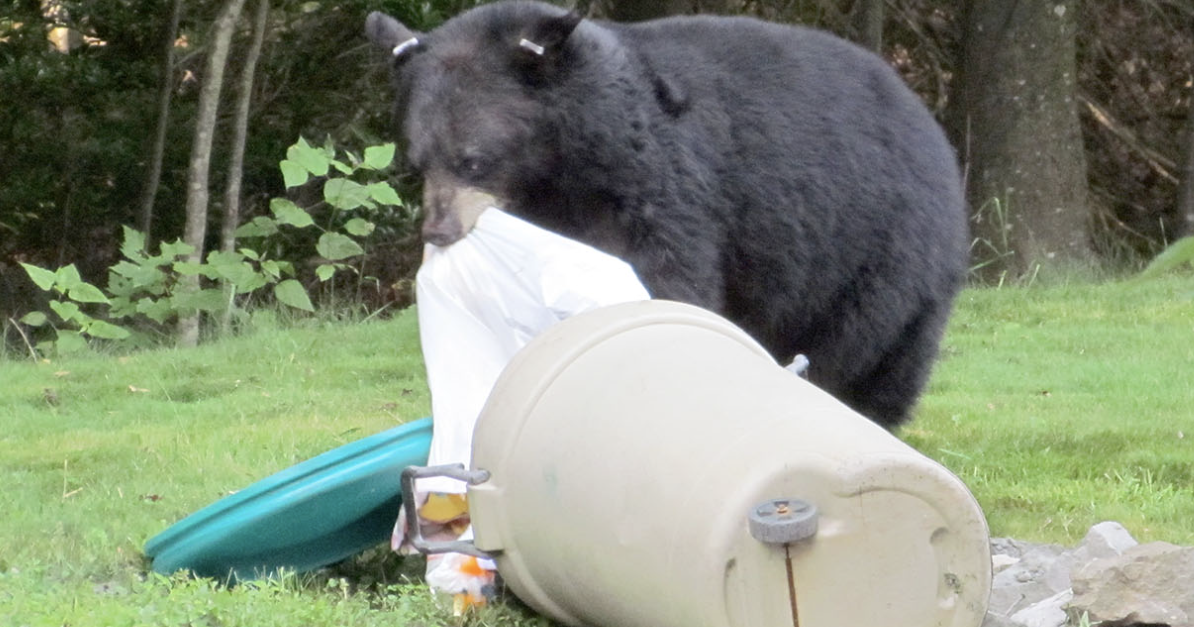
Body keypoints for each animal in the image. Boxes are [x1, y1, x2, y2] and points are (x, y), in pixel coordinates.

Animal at [364, 1, 969, 428]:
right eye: (416, 160)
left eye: (474, 159)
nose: (439, 229)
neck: (567, 163)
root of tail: (927, 122)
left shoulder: (660, 183)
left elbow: (667, 274)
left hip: (878, 253)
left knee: (871, 355)